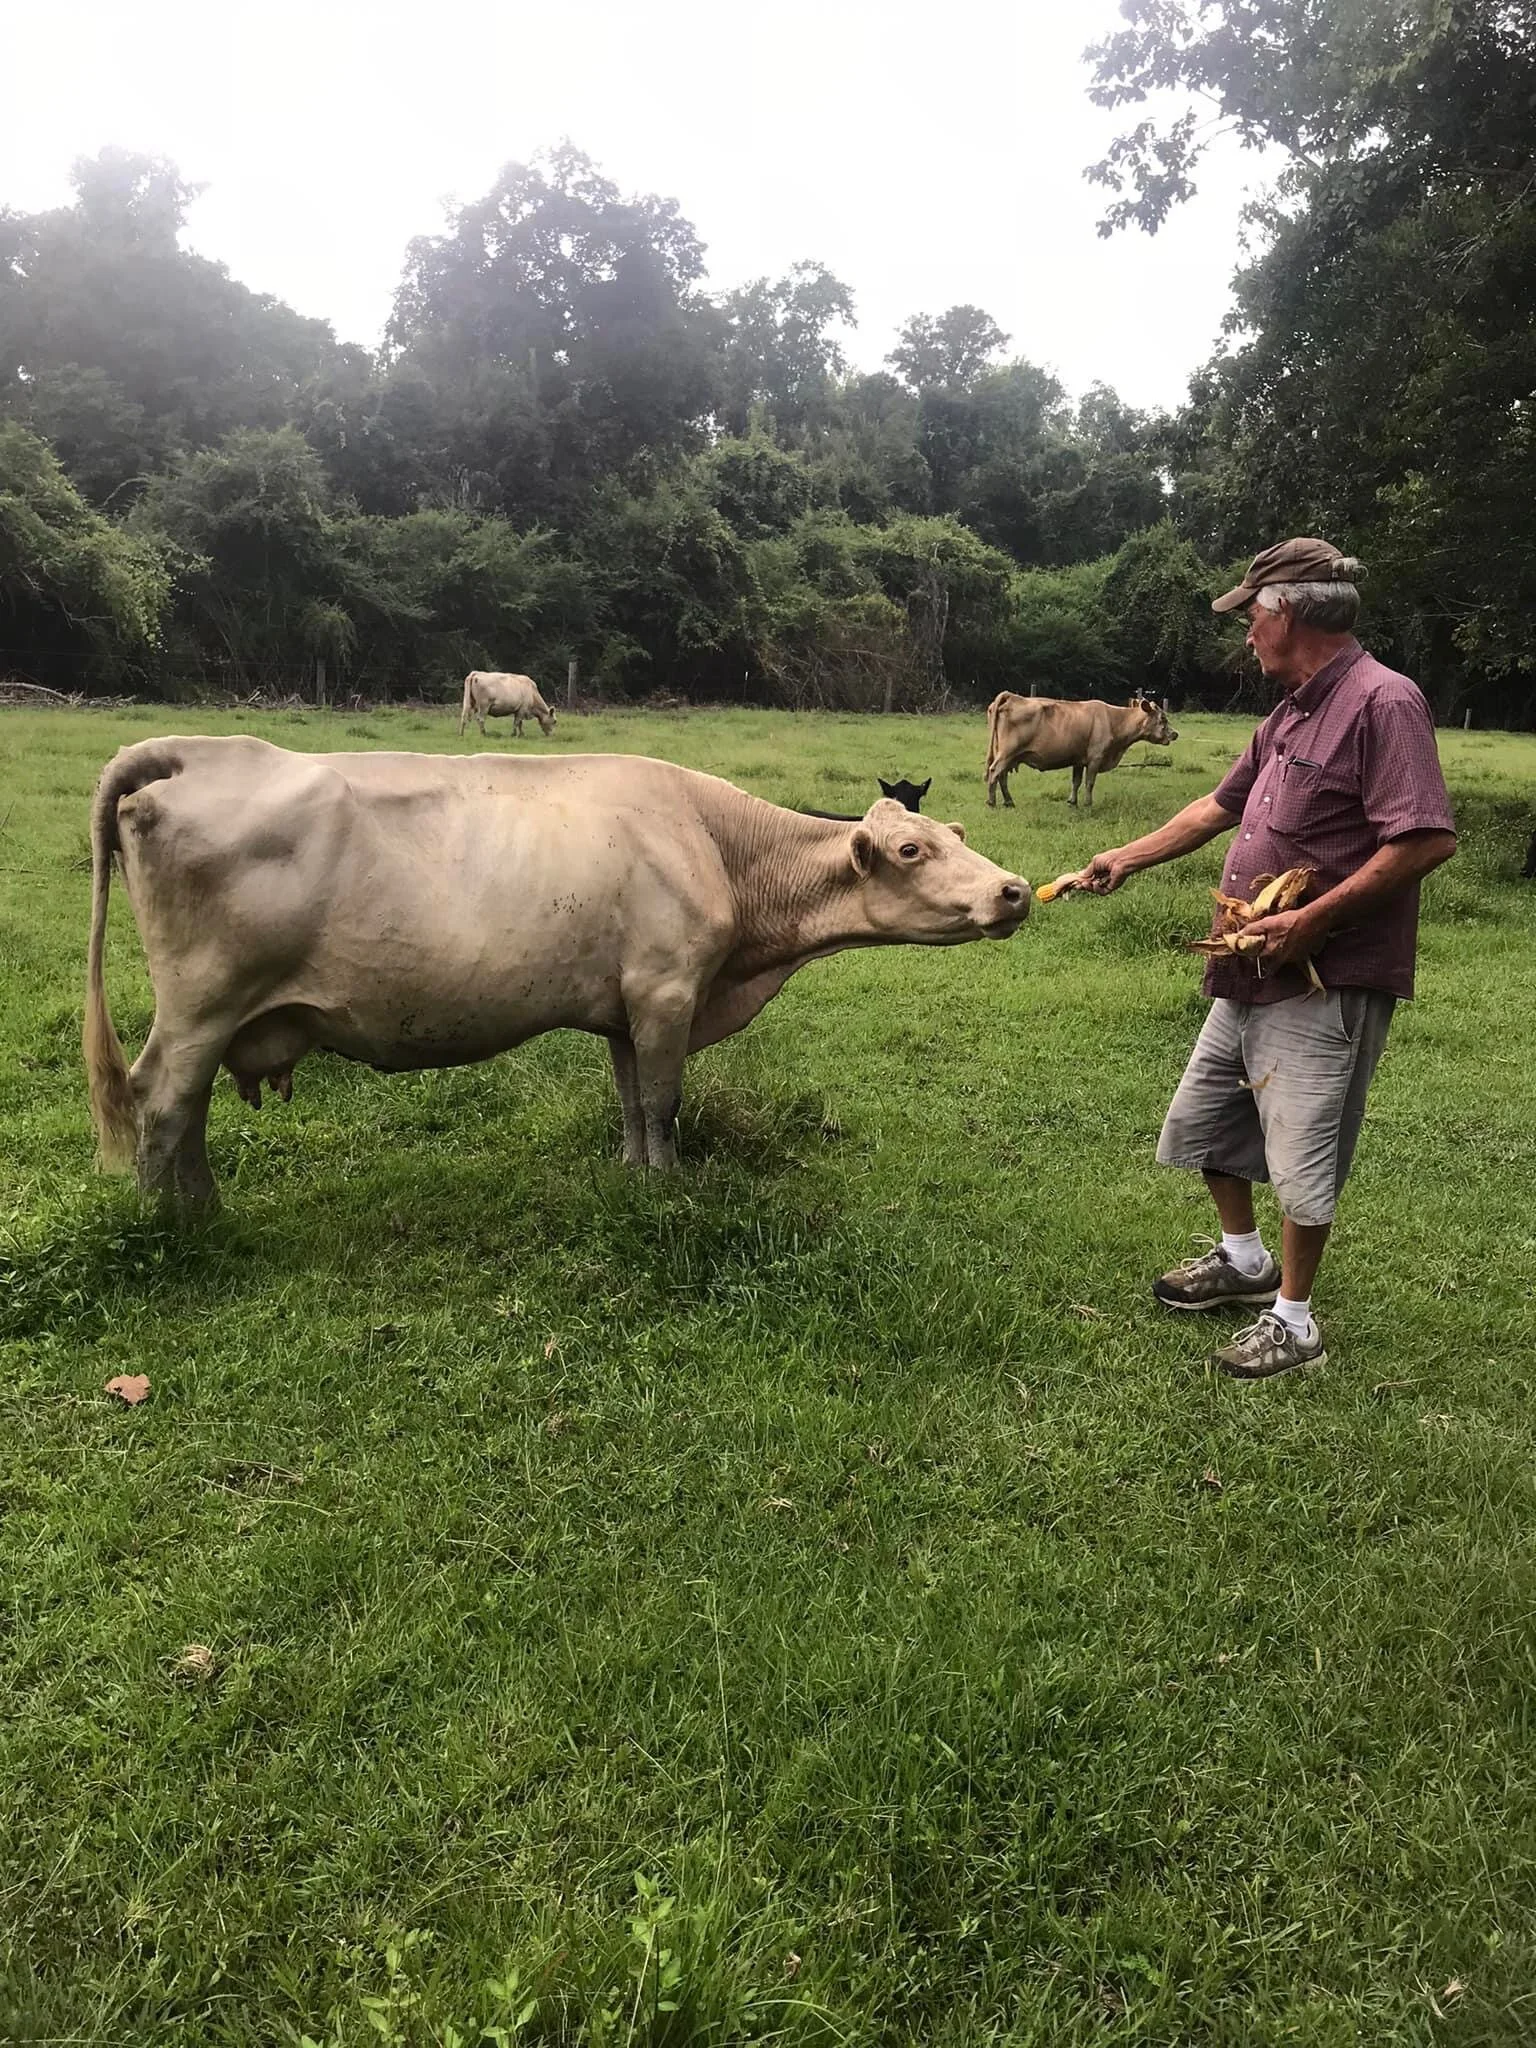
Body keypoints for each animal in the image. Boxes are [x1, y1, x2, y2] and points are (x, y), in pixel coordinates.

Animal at [984, 694, 1177, 809]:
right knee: (995, 771)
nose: (1175, 734)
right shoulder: (1095, 758)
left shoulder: (1078, 760)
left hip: (1008, 755)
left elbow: (1075, 782)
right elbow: (1089, 782)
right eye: (1163, 718)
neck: (1114, 720)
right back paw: (992, 802)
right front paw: (1087, 803)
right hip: (1007, 752)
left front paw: (1072, 801)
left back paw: (1009, 801)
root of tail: (1012, 696)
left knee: (1002, 776)